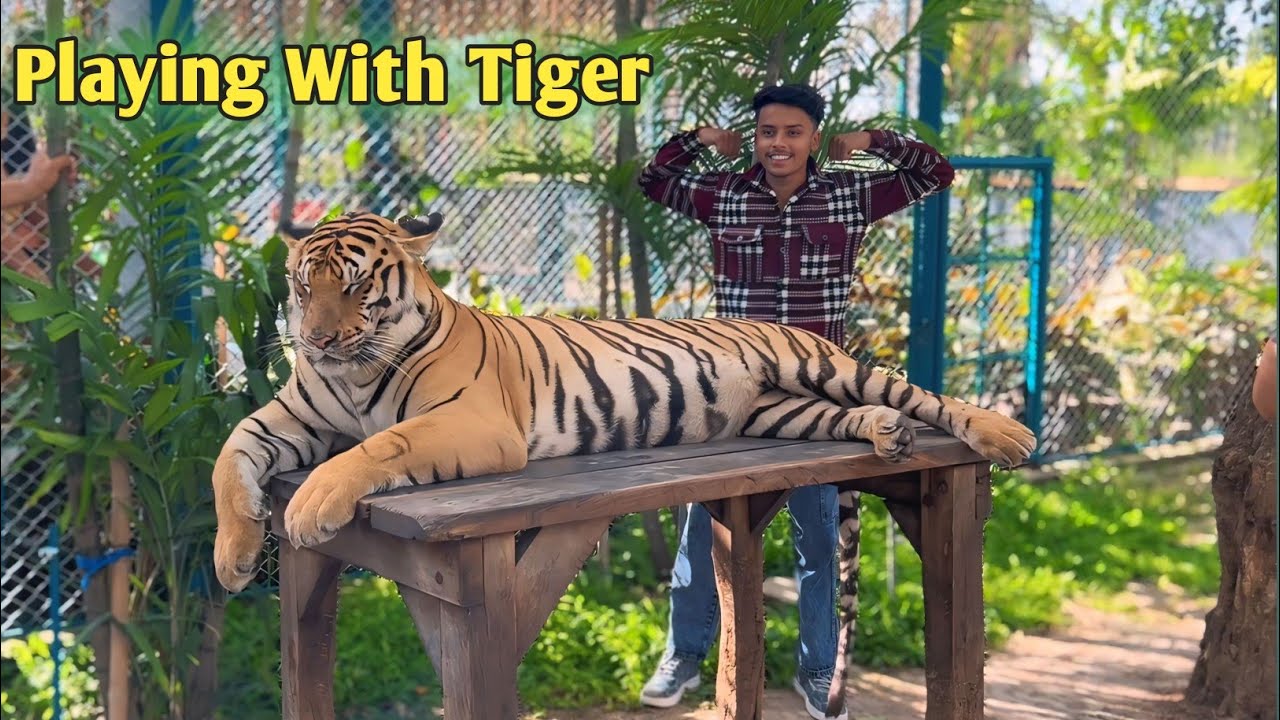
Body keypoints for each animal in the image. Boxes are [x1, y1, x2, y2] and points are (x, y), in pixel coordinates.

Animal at [211, 211, 1036, 712]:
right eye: (301, 286)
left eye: (354, 285)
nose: (317, 340)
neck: (352, 378)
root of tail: (789, 327)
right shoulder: (292, 415)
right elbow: (231, 455)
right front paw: (234, 555)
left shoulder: (474, 424)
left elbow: (380, 445)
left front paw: (311, 507)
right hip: (786, 410)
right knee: (861, 414)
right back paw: (887, 435)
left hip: (828, 368)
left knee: (920, 393)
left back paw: (1004, 435)